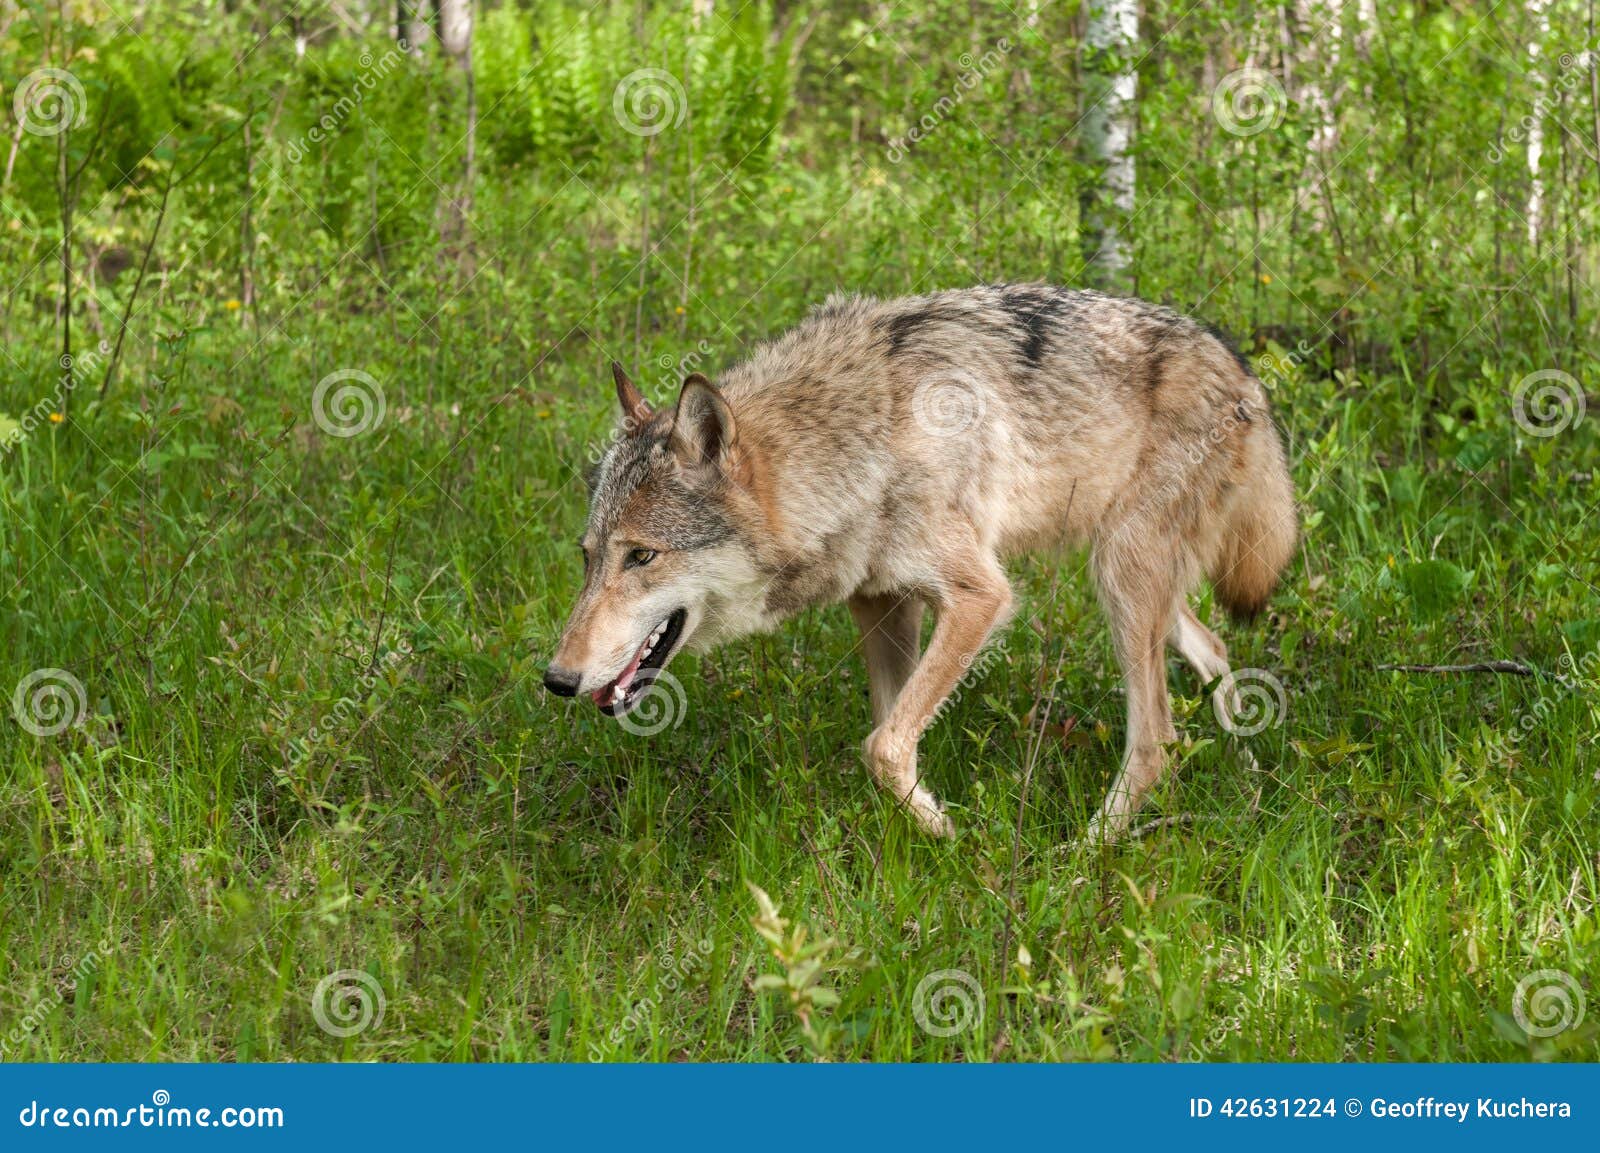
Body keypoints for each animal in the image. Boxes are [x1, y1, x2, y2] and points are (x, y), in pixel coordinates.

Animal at [543, 285, 1296, 840]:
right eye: (587, 558)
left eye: (642, 556)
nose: (556, 679)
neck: (857, 442)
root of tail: (1241, 366)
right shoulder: (880, 604)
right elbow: (888, 734)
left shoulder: (980, 597)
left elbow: (881, 746)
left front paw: (950, 838)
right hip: (1133, 583)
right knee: (1214, 648)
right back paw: (1250, 779)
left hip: (1120, 576)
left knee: (1155, 741)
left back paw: (1084, 853)